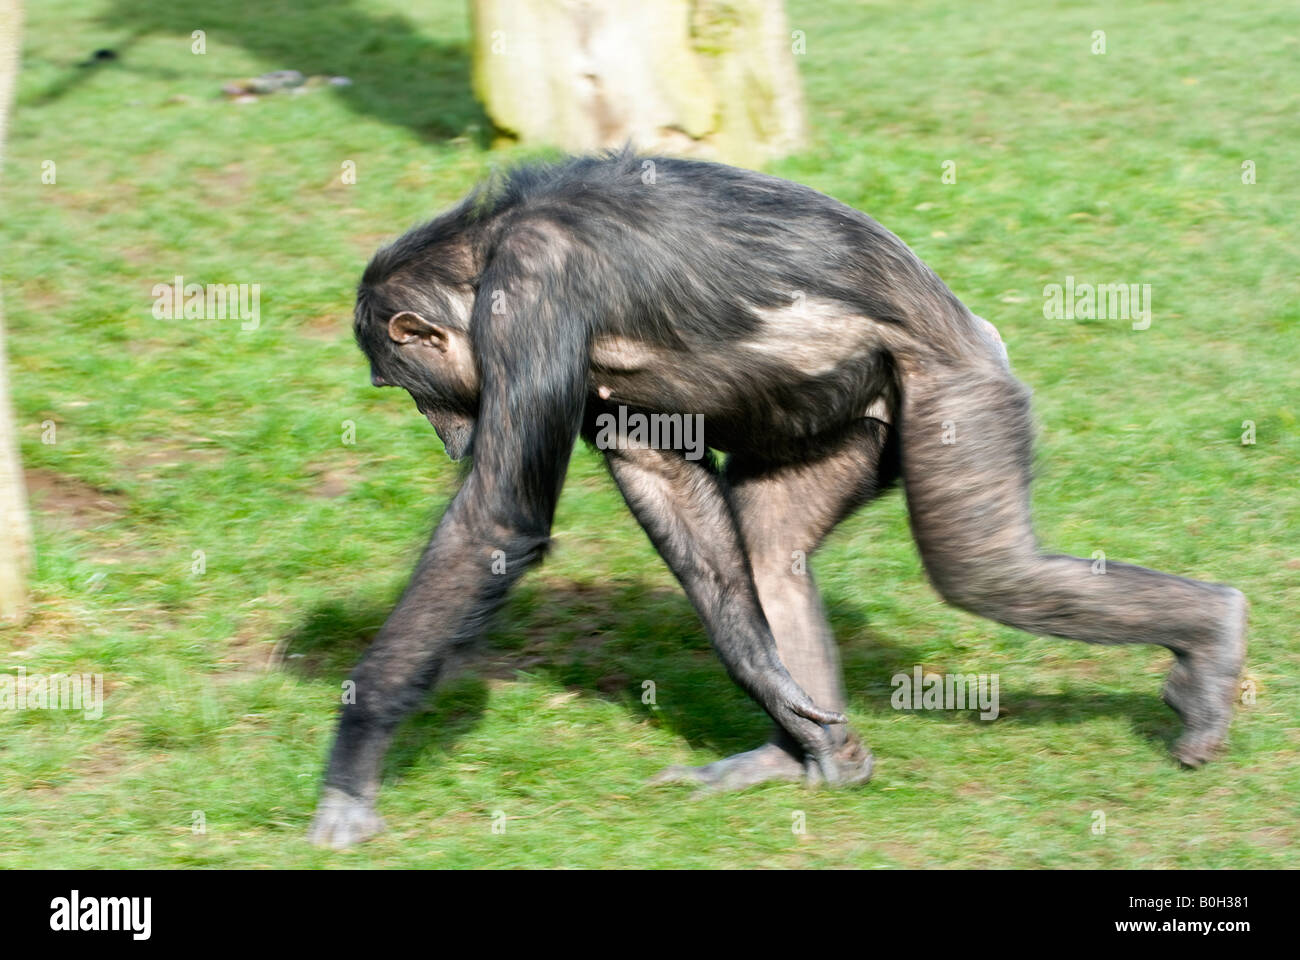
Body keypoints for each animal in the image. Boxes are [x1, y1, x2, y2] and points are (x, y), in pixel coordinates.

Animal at [308, 149, 1247, 848]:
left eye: (404, 386)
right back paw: (804, 757)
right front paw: (768, 676)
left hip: (963, 400)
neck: (484, 255)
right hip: (849, 430)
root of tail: (984, 338)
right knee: (770, 549)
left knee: (985, 571)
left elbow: (496, 522)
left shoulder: (532, 297)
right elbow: (665, 482)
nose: (441, 434)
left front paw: (350, 771)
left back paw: (1212, 639)